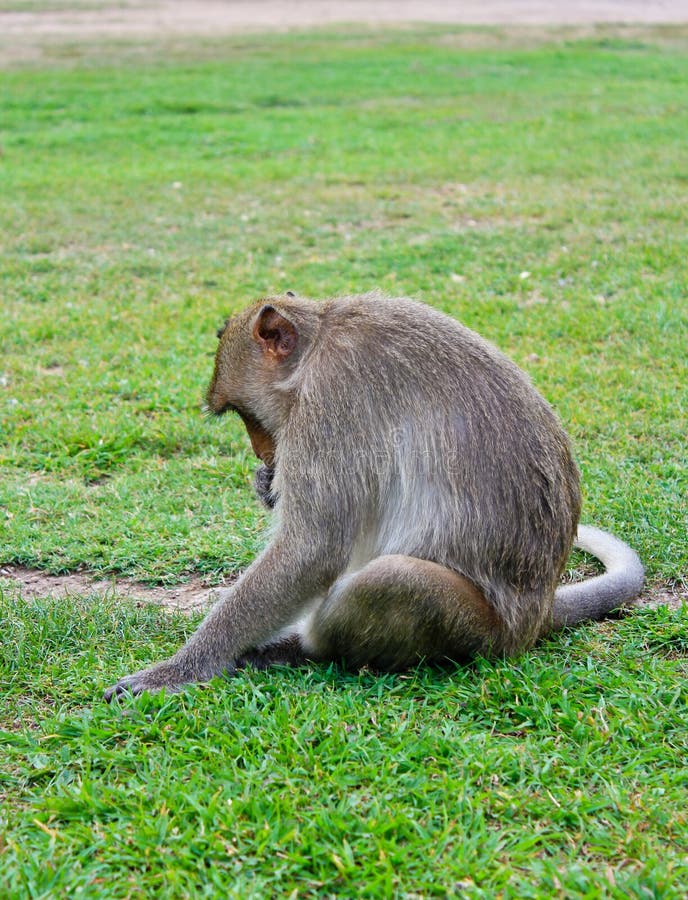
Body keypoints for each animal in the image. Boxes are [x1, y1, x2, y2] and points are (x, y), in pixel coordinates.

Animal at [104, 292, 644, 699]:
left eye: (245, 414)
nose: (262, 452)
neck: (316, 343)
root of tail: (534, 617)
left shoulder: (329, 402)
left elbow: (313, 549)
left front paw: (180, 669)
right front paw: (266, 486)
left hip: (478, 628)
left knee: (388, 580)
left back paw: (297, 649)